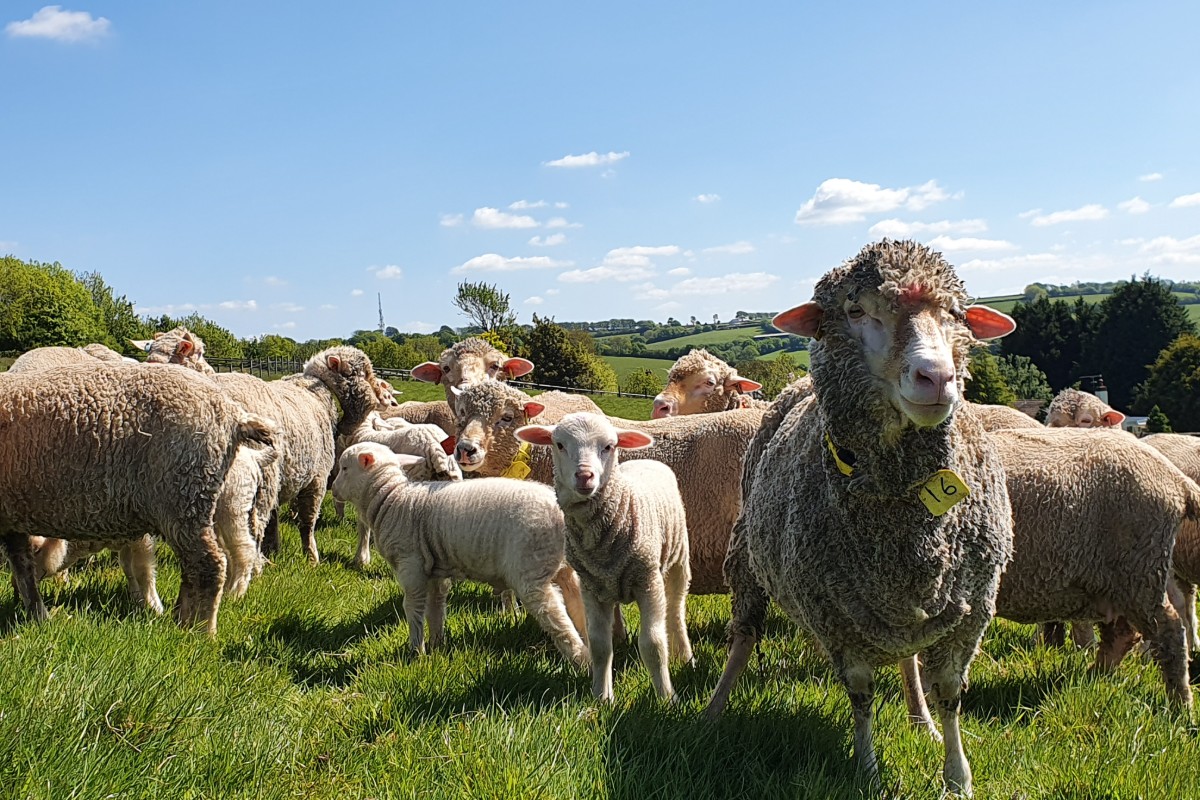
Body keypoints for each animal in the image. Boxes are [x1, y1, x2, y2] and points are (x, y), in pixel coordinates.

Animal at [0, 361, 275, 634]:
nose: (11, 591)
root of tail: (234, 413)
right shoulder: (12, 517)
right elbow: (23, 567)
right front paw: (37, 614)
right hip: (195, 499)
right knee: (200, 564)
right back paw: (183, 617)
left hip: (182, 496)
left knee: (209, 563)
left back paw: (199, 629)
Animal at [331, 442, 589, 666]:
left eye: (344, 468)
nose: (332, 489)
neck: (393, 500)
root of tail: (560, 512)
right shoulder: (434, 571)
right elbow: (435, 608)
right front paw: (436, 645)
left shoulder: (411, 564)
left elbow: (413, 608)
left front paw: (416, 651)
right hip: (563, 566)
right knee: (577, 599)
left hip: (532, 569)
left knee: (556, 617)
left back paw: (581, 661)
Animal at [517, 413, 692, 701]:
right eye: (559, 444)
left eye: (609, 446)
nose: (584, 476)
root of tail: (646, 459)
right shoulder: (591, 586)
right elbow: (599, 645)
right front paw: (602, 697)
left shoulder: (648, 580)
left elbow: (653, 644)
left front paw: (667, 698)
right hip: (611, 580)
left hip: (678, 560)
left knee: (675, 610)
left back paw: (686, 657)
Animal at [707, 240, 1017, 796]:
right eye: (856, 311)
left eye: (955, 316)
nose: (938, 377)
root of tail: (796, 384)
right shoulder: (837, 620)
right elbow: (861, 695)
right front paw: (867, 769)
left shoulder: (970, 612)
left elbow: (949, 692)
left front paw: (957, 775)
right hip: (747, 553)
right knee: (743, 636)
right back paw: (714, 711)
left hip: (901, 605)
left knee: (909, 659)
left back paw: (920, 719)